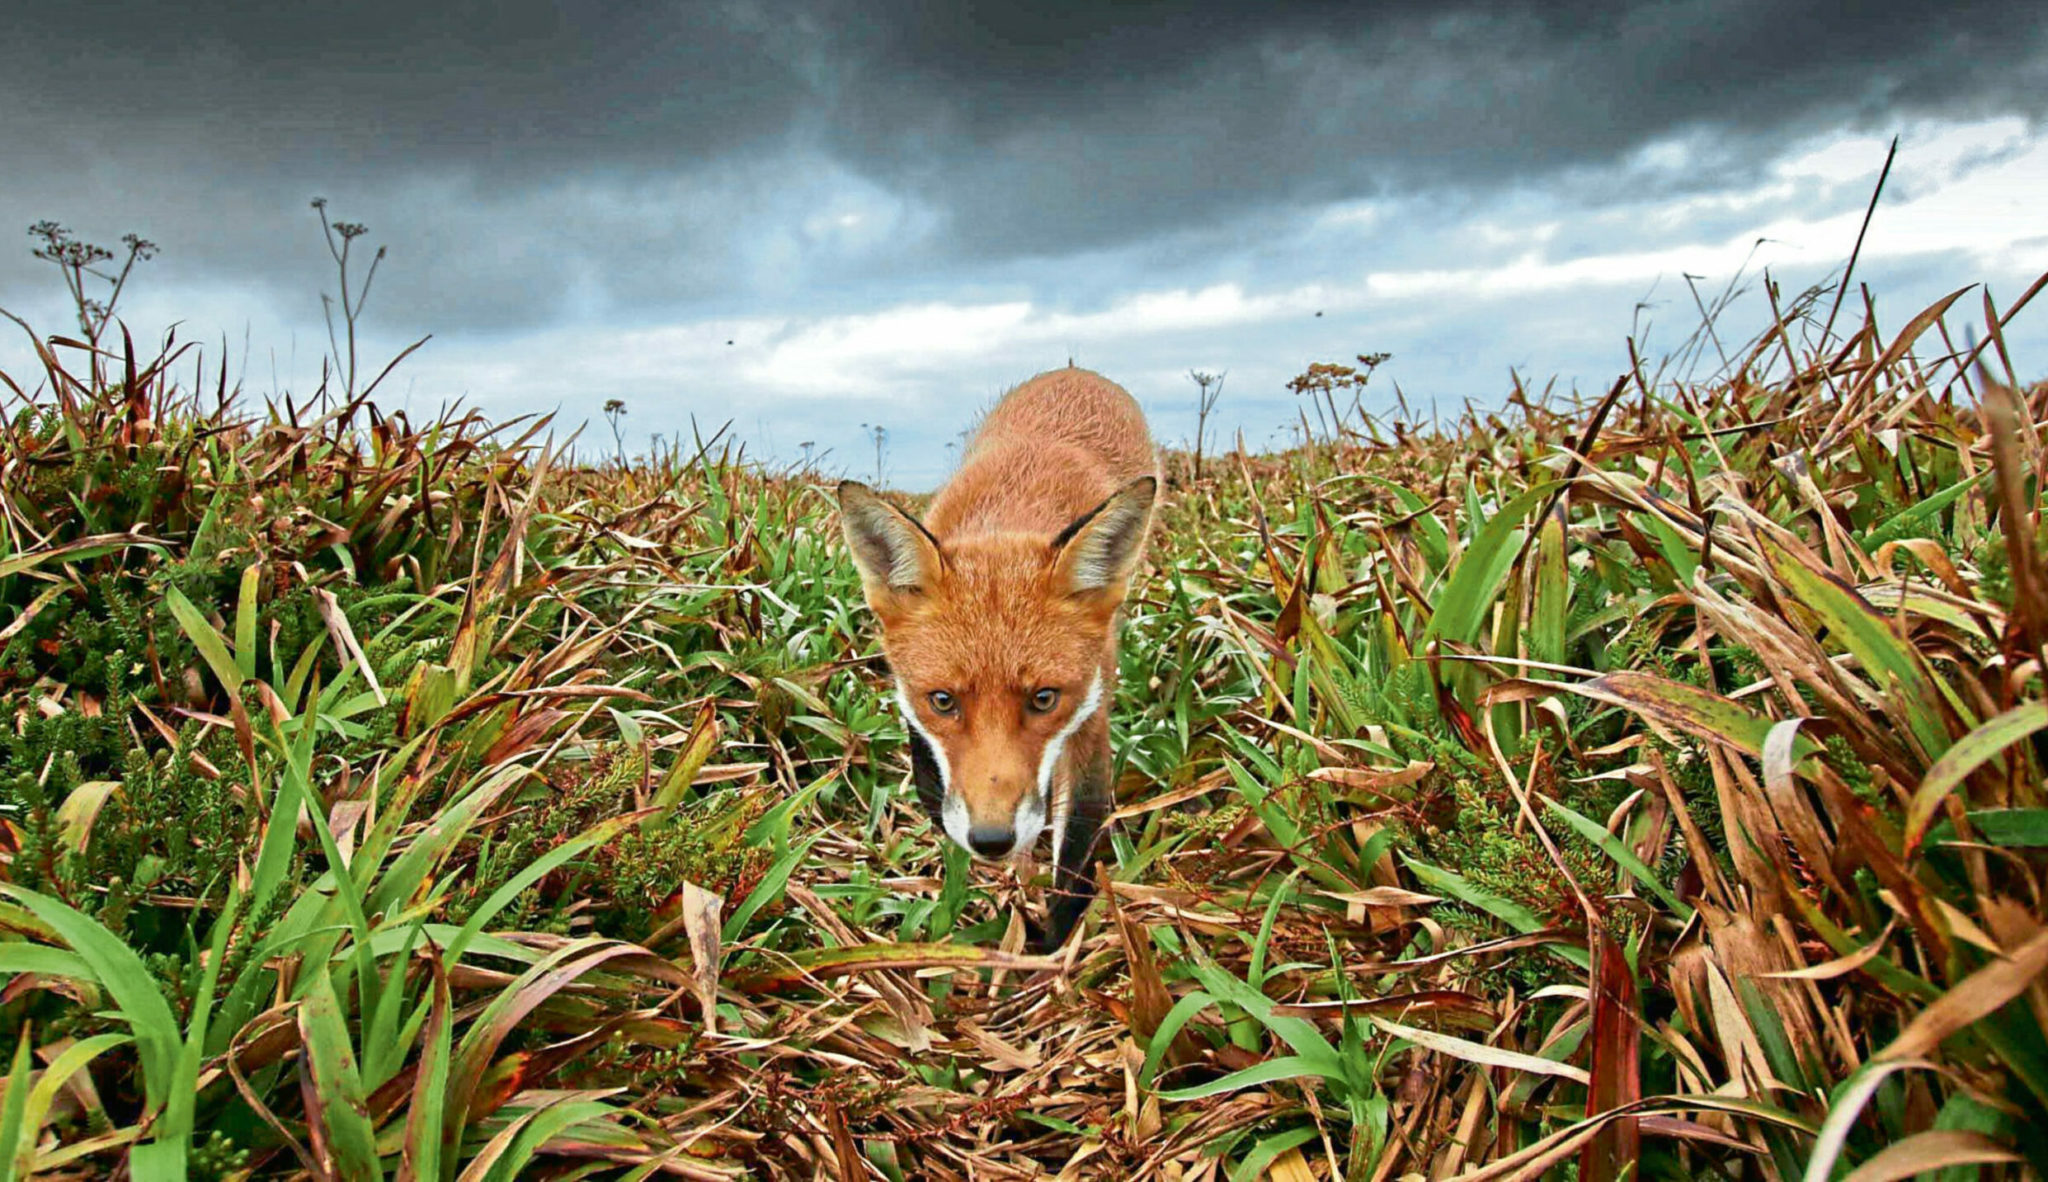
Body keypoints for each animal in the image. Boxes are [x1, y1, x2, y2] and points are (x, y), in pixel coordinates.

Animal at [836, 366, 1159, 952]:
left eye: (1044, 699)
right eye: (943, 701)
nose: (990, 840)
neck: (1015, 512)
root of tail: (1075, 371)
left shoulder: (1092, 707)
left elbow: (1077, 853)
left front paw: (1050, 951)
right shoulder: (913, 705)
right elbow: (931, 782)